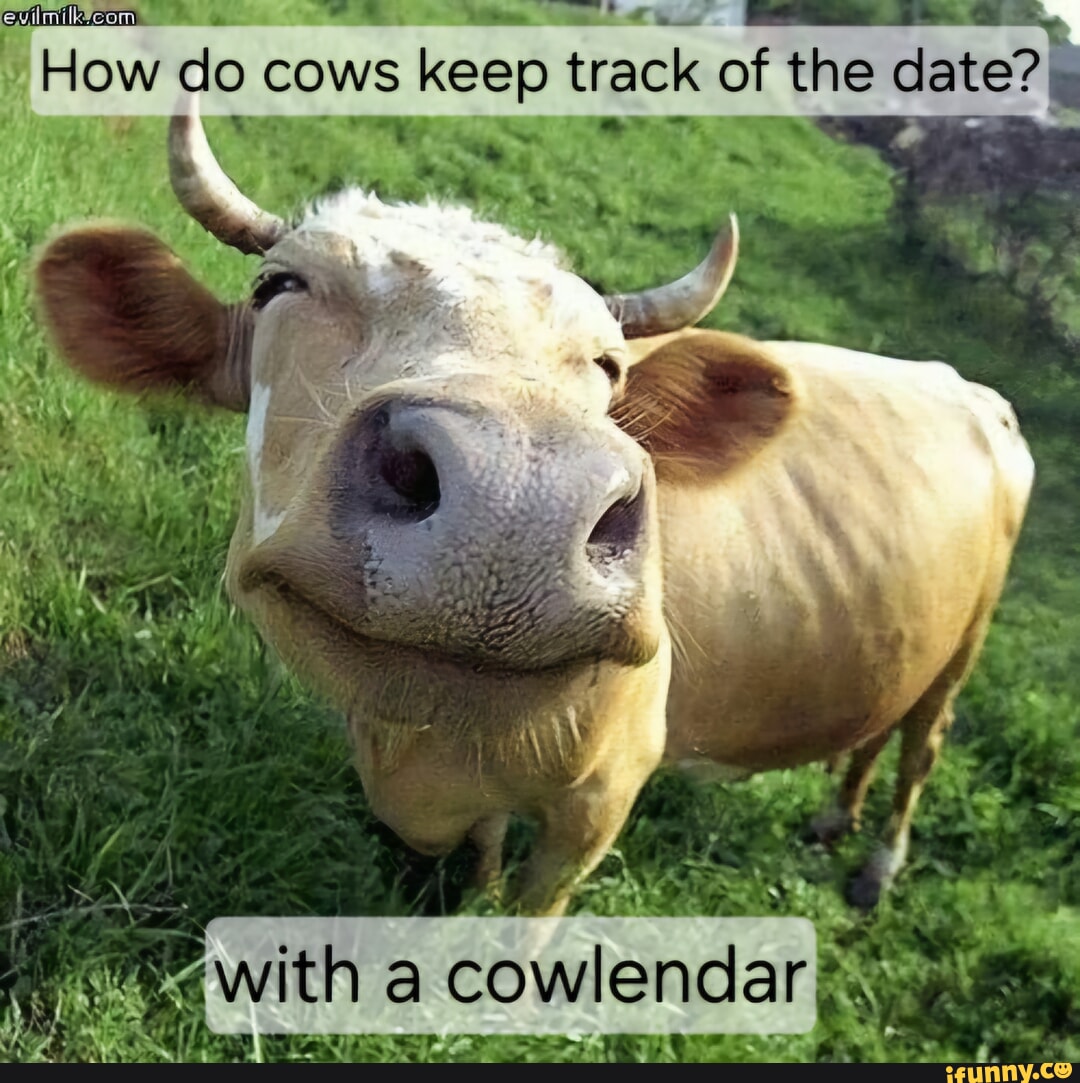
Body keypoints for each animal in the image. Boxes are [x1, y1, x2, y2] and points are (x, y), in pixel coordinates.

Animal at [34, 99, 1034, 917]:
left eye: (609, 365)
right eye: (281, 285)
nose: (512, 503)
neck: (421, 749)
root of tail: (965, 385)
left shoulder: (602, 799)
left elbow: (532, 910)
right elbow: (485, 849)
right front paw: (471, 886)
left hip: (971, 643)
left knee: (922, 746)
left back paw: (877, 864)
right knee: (877, 731)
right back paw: (836, 814)